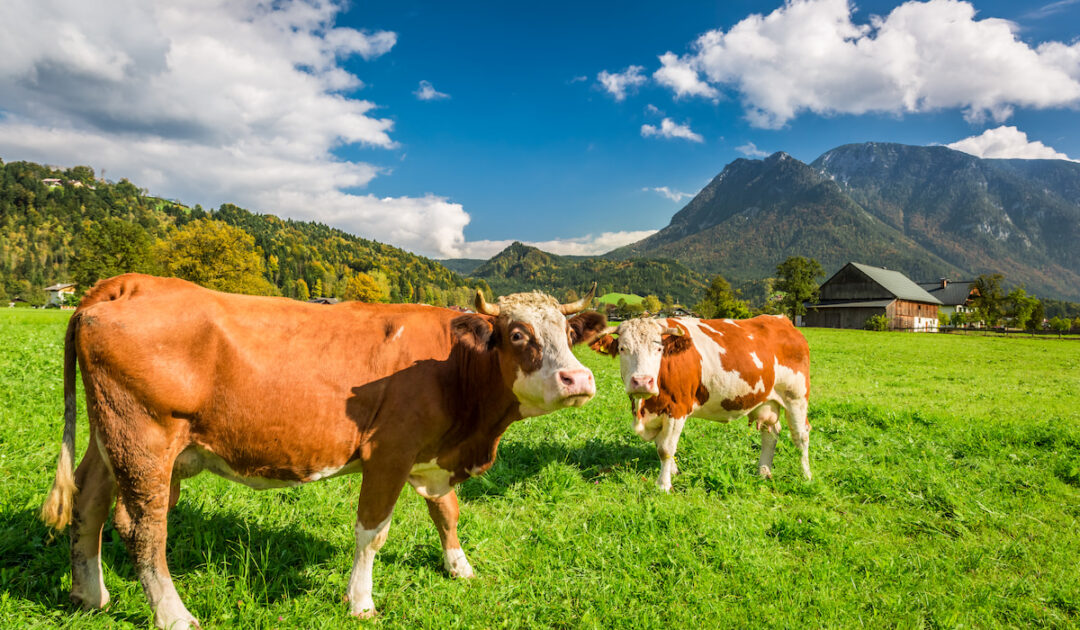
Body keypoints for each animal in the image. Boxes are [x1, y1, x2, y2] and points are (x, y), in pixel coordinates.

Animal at [39, 274, 607, 629]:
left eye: (567, 332)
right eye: (518, 334)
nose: (579, 379)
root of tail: (128, 283)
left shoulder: (431, 456)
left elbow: (446, 512)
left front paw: (459, 567)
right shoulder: (389, 453)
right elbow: (372, 534)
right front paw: (361, 602)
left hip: (109, 437)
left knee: (88, 503)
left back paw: (90, 595)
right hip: (144, 441)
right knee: (143, 528)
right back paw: (173, 615)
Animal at [590, 315, 811, 491]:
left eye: (659, 348)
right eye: (622, 348)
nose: (642, 381)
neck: (646, 407)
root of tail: (782, 320)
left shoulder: (677, 408)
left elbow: (665, 449)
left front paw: (663, 485)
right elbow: (661, 444)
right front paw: (673, 472)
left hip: (796, 396)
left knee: (801, 436)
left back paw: (806, 476)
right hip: (767, 401)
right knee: (770, 434)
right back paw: (763, 472)